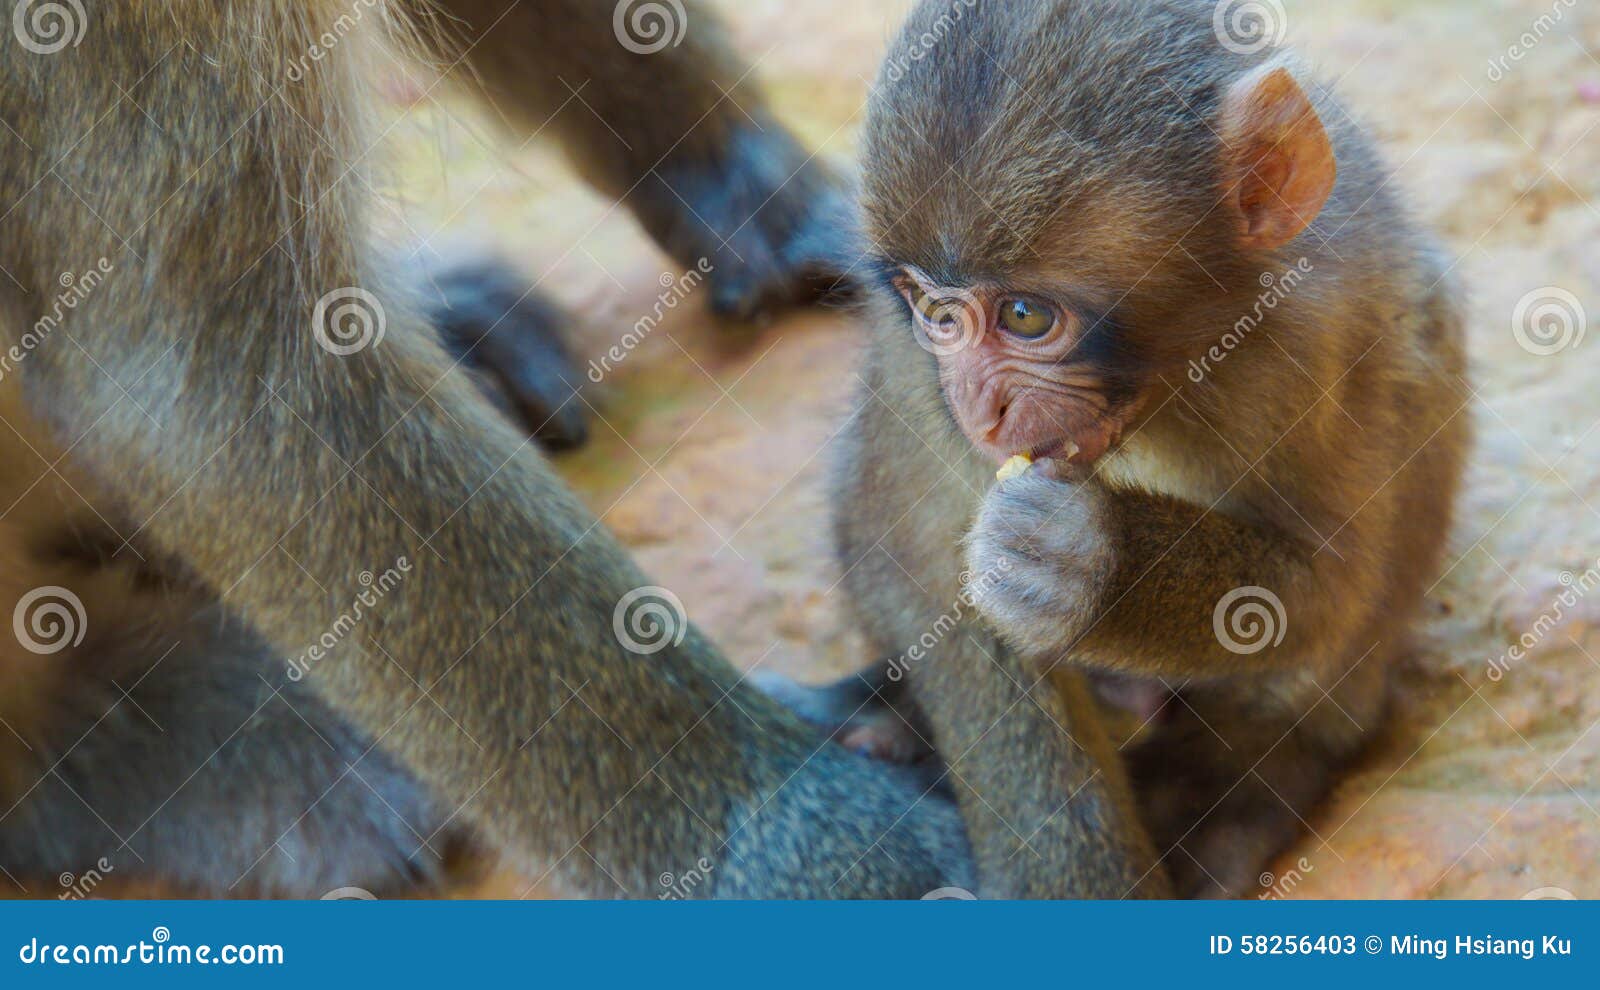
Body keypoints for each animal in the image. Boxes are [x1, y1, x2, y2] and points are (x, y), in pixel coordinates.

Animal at [759, 0, 1468, 898]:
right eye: (936, 314)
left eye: (1026, 316)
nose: (979, 408)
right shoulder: (911, 367)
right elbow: (918, 564)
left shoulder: (1315, 346)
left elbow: (1329, 590)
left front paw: (1084, 559)